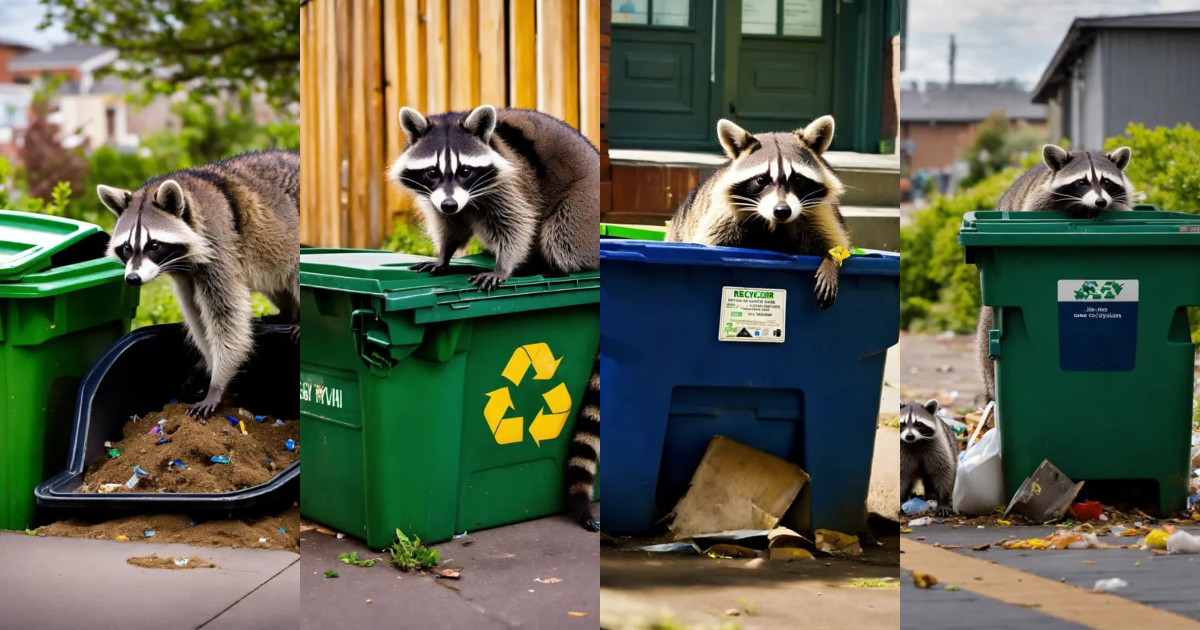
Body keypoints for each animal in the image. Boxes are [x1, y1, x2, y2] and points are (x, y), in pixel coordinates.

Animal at [97, 150, 300, 417]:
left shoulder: (219, 248)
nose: (133, 279)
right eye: (127, 248)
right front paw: (210, 364)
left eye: (154, 245)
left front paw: (218, 382)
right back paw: (288, 313)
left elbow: (227, 318)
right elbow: (196, 317)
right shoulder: (185, 275)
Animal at [387, 104, 599, 290]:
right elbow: (449, 225)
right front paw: (444, 254)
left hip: (584, 199)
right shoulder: (438, 199)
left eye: (465, 171)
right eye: (431, 172)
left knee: (562, 238)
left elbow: (517, 224)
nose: (450, 205)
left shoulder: (511, 184)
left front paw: (503, 265)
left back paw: (559, 268)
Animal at [666, 116, 851, 310]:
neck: (775, 223)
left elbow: (835, 240)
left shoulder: (819, 211)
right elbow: (711, 243)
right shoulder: (724, 215)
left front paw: (831, 259)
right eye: (761, 180)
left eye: (797, 179)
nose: (782, 211)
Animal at [978, 144, 1135, 405]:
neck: (1084, 209)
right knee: (985, 332)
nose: (1100, 201)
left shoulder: (1118, 203)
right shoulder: (1039, 202)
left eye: (1106, 181)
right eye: (1081, 182)